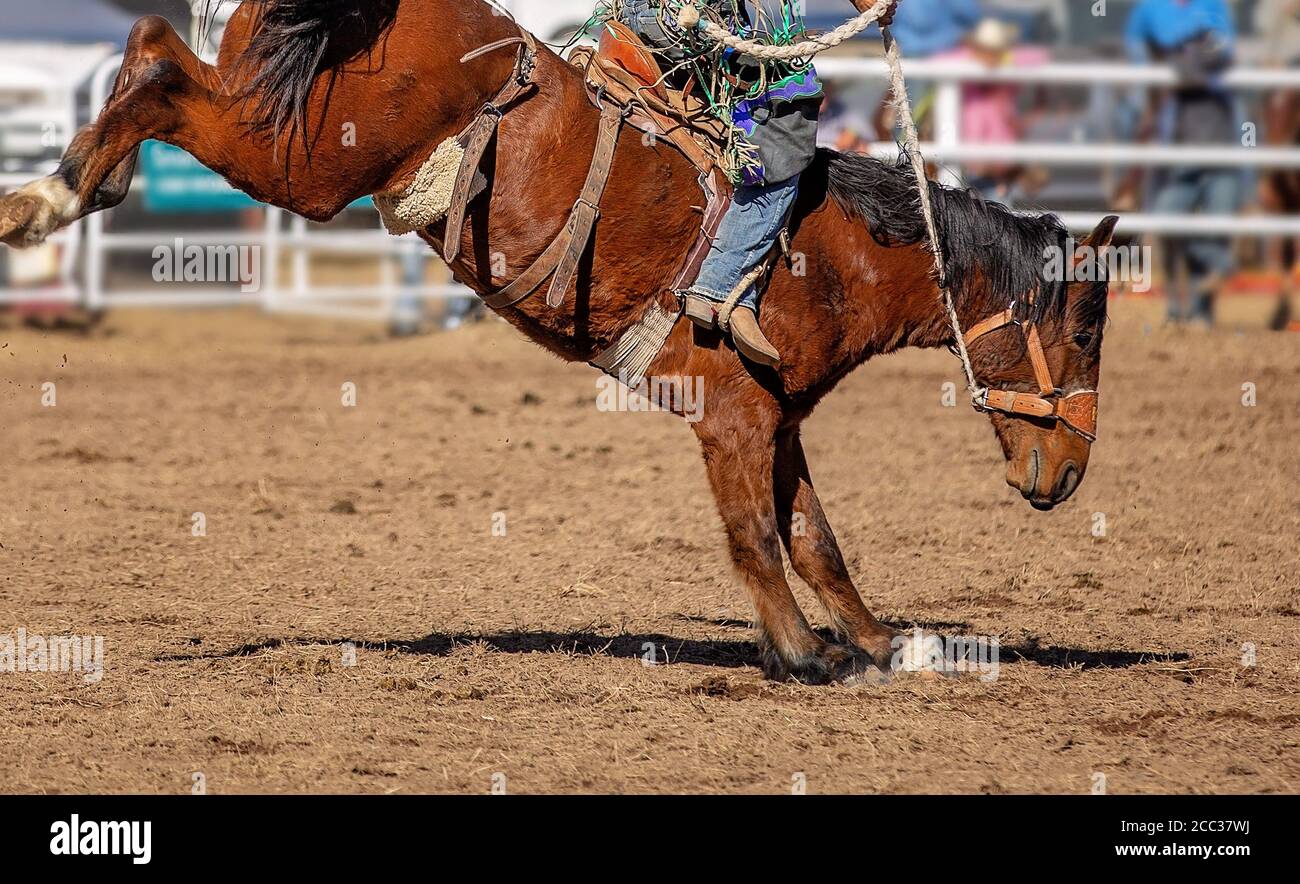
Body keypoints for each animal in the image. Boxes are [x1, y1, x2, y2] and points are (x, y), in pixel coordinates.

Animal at [0, 0, 1116, 684]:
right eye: (1084, 330)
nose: (1067, 472)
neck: (827, 247)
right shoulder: (731, 416)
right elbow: (756, 537)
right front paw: (802, 653)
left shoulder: (779, 417)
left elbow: (816, 539)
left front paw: (885, 641)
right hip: (305, 156)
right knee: (161, 73)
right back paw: (48, 197)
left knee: (155, 40)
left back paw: (60, 186)